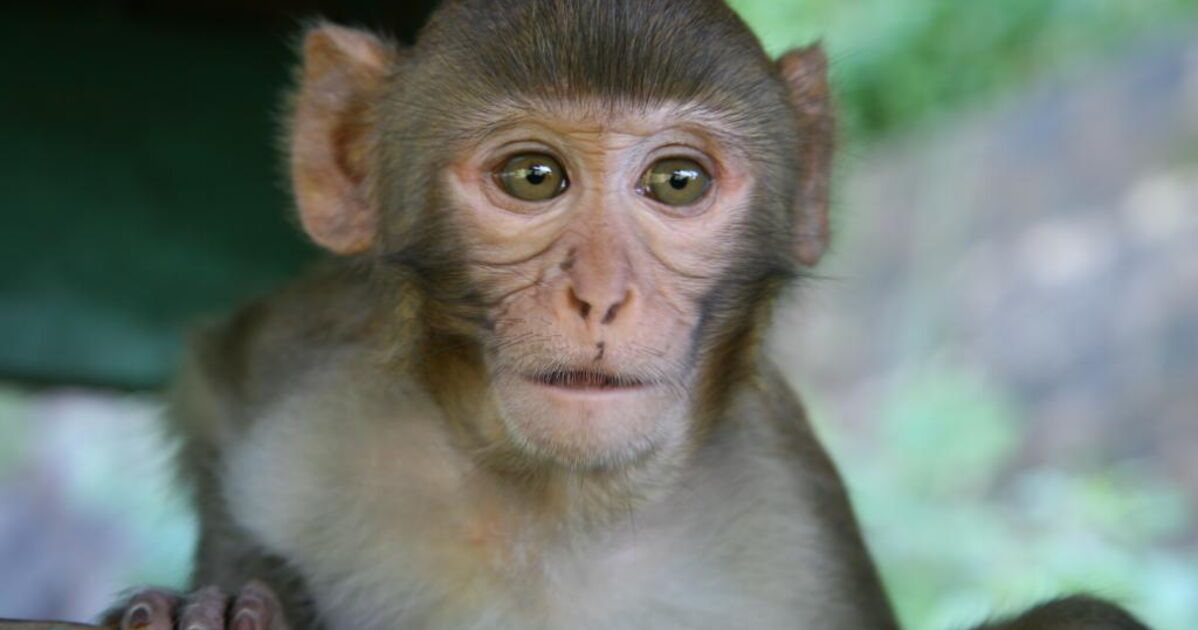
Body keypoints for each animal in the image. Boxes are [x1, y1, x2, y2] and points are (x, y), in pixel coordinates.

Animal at [100, 1, 1153, 629]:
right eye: (533, 177)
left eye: (677, 182)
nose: (602, 295)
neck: (554, 509)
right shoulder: (303, 384)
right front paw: (225, 605)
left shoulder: (793, 526)